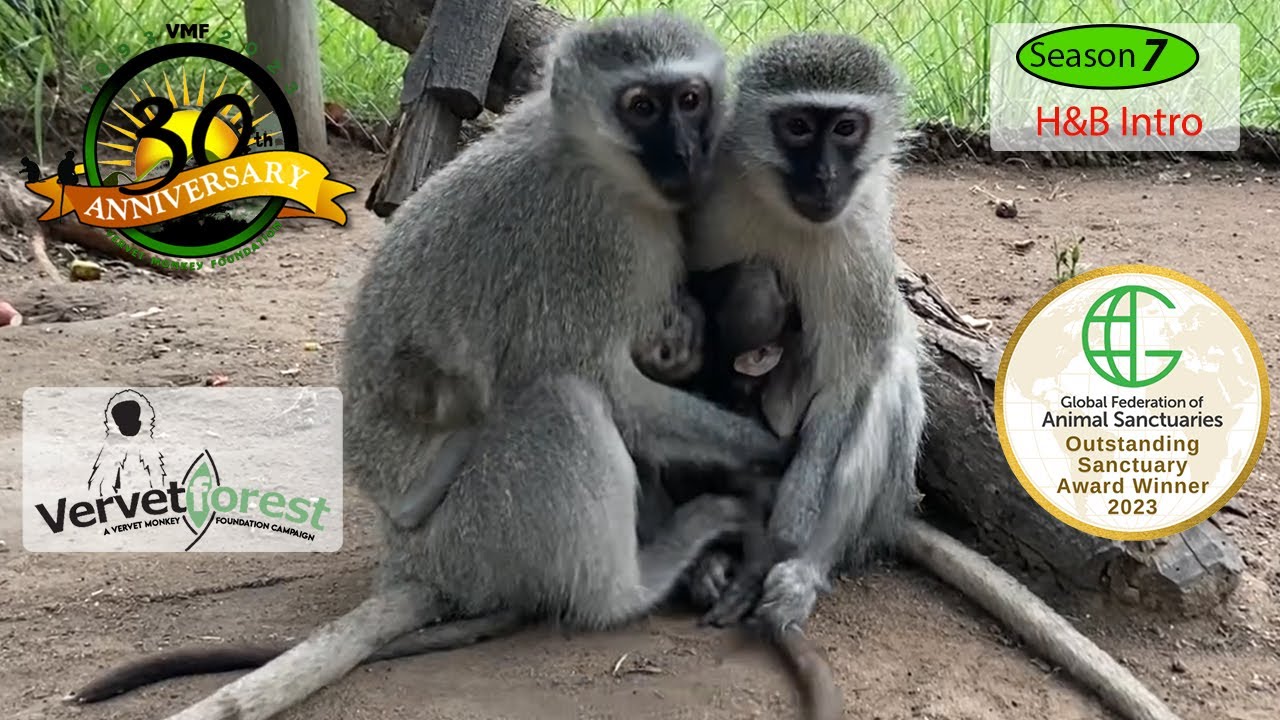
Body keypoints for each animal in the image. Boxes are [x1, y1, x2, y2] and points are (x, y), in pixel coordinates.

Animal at [63, 15, 799, 720]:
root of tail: (409, 561)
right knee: (560, 402)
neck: (594, 158)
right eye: (642, 107)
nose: (686, 153)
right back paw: (630, 588)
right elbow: (613, 389)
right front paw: (774, 451)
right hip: (474, 528)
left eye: (691, 100)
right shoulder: (591, 246)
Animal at [676, 32, 1182, 720]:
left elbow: (852, 378)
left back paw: (802, 568)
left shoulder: (861, 245)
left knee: (884, 378)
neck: (780, 208)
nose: (826, 176)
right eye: (798, 126)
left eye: (846, 128)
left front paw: (772, 556)